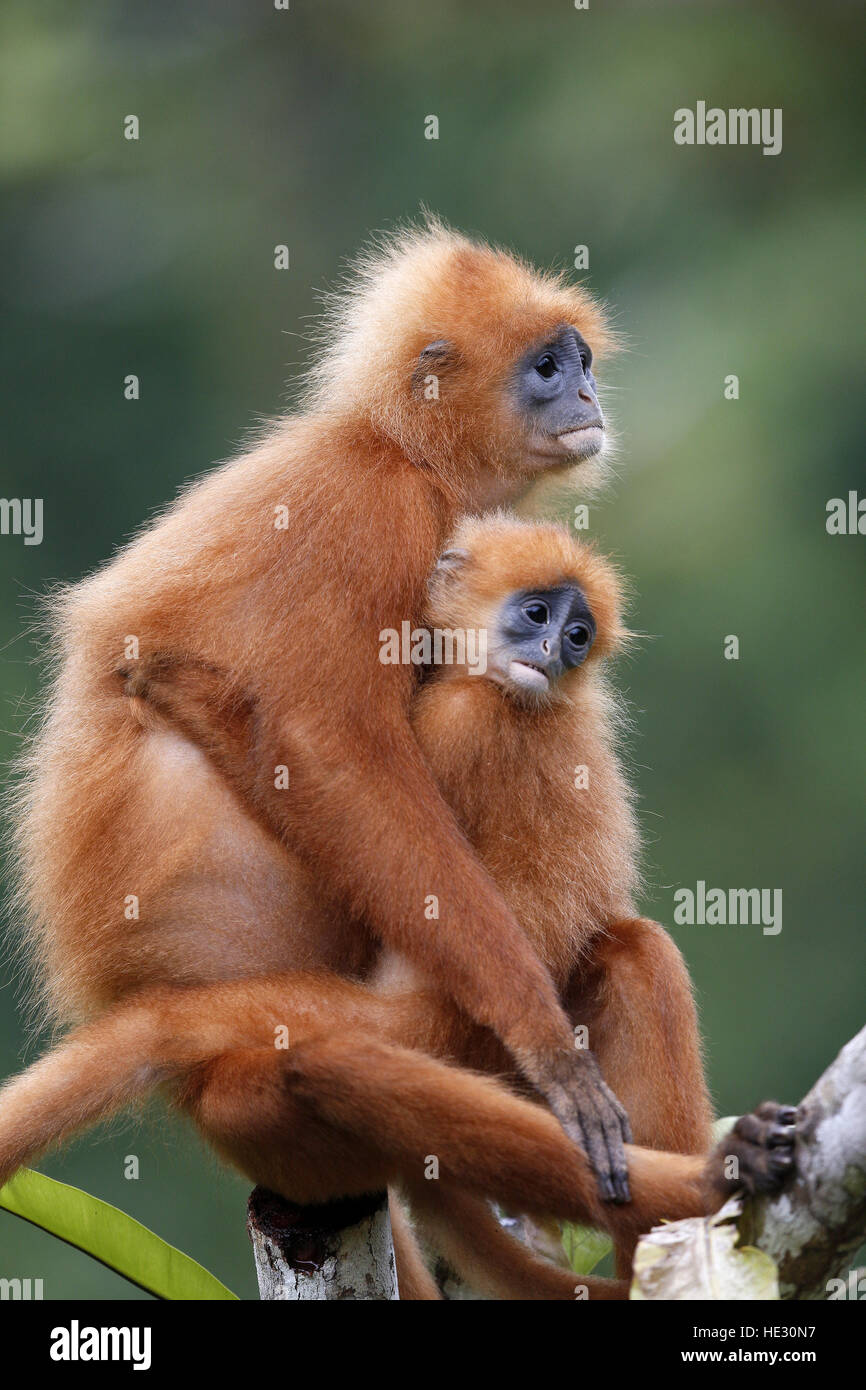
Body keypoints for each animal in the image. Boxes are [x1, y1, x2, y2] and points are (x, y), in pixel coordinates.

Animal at [0, 512, 798, 1299]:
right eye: (539, 615)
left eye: (578, 634)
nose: (553, 650)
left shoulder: (465, 715)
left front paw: (192, 695)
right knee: (636, 953)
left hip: (419, 1024)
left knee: (334, 1062)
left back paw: (708, 1182)